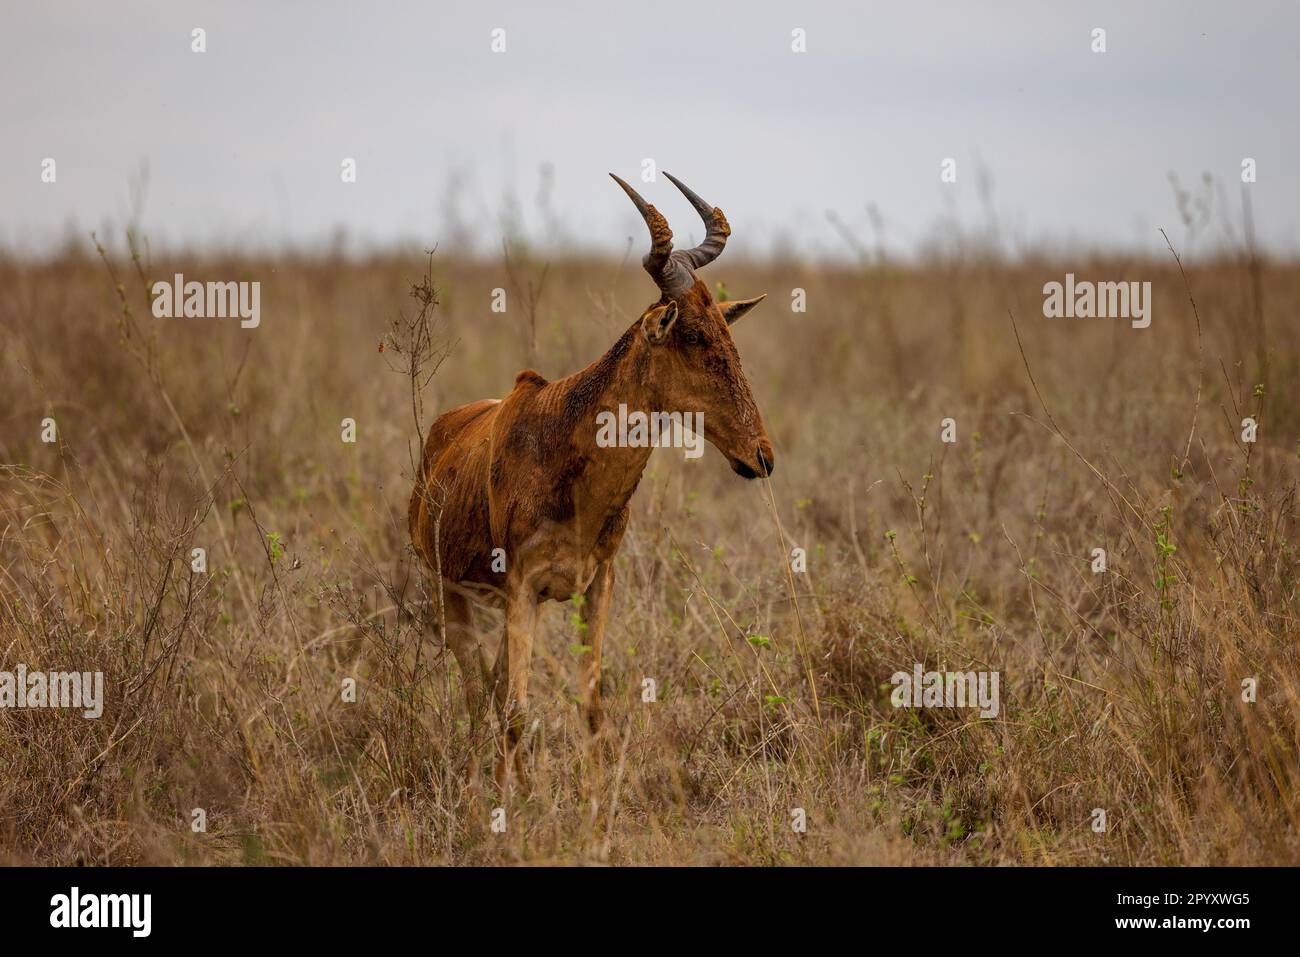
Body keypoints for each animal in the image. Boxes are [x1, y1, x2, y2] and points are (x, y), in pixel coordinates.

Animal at [408, 173, 774, 789]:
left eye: (726, 329)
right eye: (692, 336)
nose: (761, 455)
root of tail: (441, 435)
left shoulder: (597, 584)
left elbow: (592, 704)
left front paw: (595, 799)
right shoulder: (522, 589)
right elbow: (516, 709)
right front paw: (516, 802)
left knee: (492, 684)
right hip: (449, 593)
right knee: (478, 692)